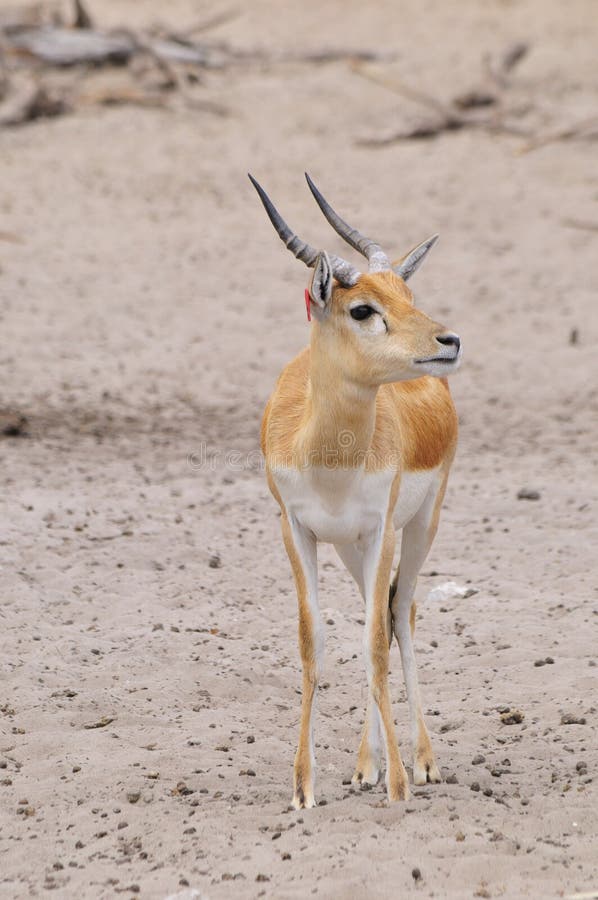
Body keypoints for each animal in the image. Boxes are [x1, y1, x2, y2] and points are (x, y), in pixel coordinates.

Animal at [250, 173, 461, 809]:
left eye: (407, 295)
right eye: (362, 308)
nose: (448, 340)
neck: (329, 458)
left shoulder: (381, 530)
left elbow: (374, 644)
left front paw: (399, 784)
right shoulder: (297, 530)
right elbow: (313, 642)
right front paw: (304, 787)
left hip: (418, 526)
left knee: (399, 611)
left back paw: (422, 761)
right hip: (348, 546)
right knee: (379, 611)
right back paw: (364, 765)